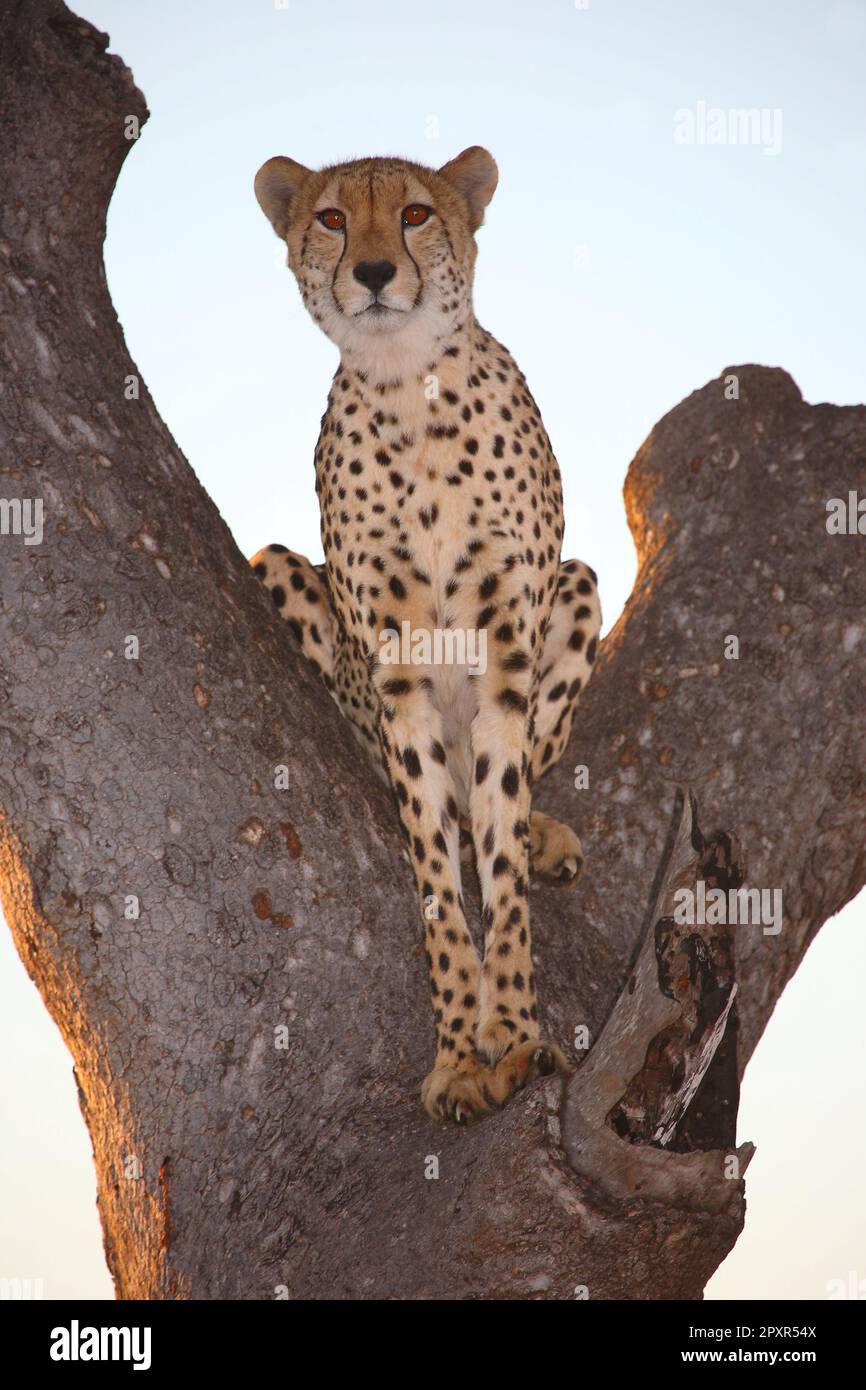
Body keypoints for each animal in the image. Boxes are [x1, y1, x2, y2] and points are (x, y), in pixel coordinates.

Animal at [251, 145, 601, 1123]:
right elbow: (439, 883)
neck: (410, 387)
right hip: (274, 565)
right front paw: (456, 1053)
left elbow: (501, 867)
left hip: (579, 586)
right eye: (331, 219)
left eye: (414, 213)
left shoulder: (506, 659)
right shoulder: (397, 680)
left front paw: (510, 1032)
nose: (373, 272)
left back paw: (542, 835)